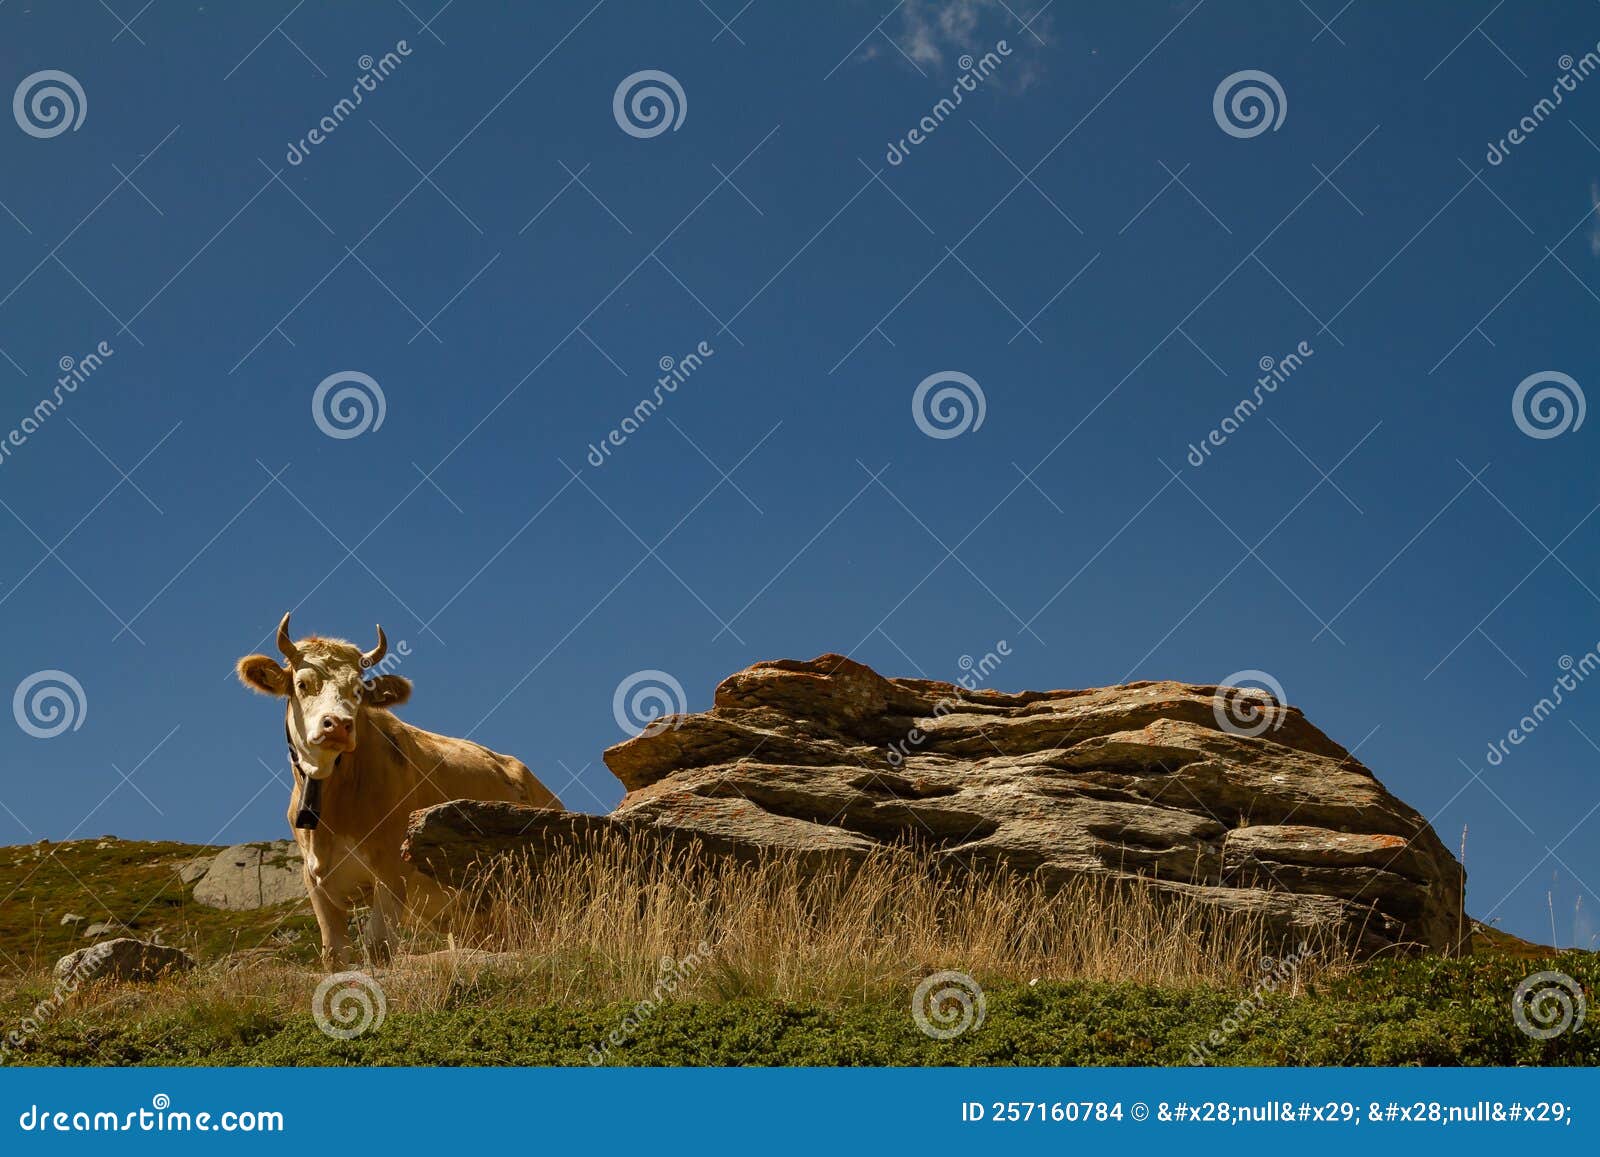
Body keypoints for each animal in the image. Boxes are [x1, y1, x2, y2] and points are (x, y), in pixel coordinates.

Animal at [236, 613, 559, 970]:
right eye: (303, 684)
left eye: (358, 690)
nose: (338, 724)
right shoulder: (316, 882)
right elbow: (334, 954)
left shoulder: (392, 871)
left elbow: (378, 946)